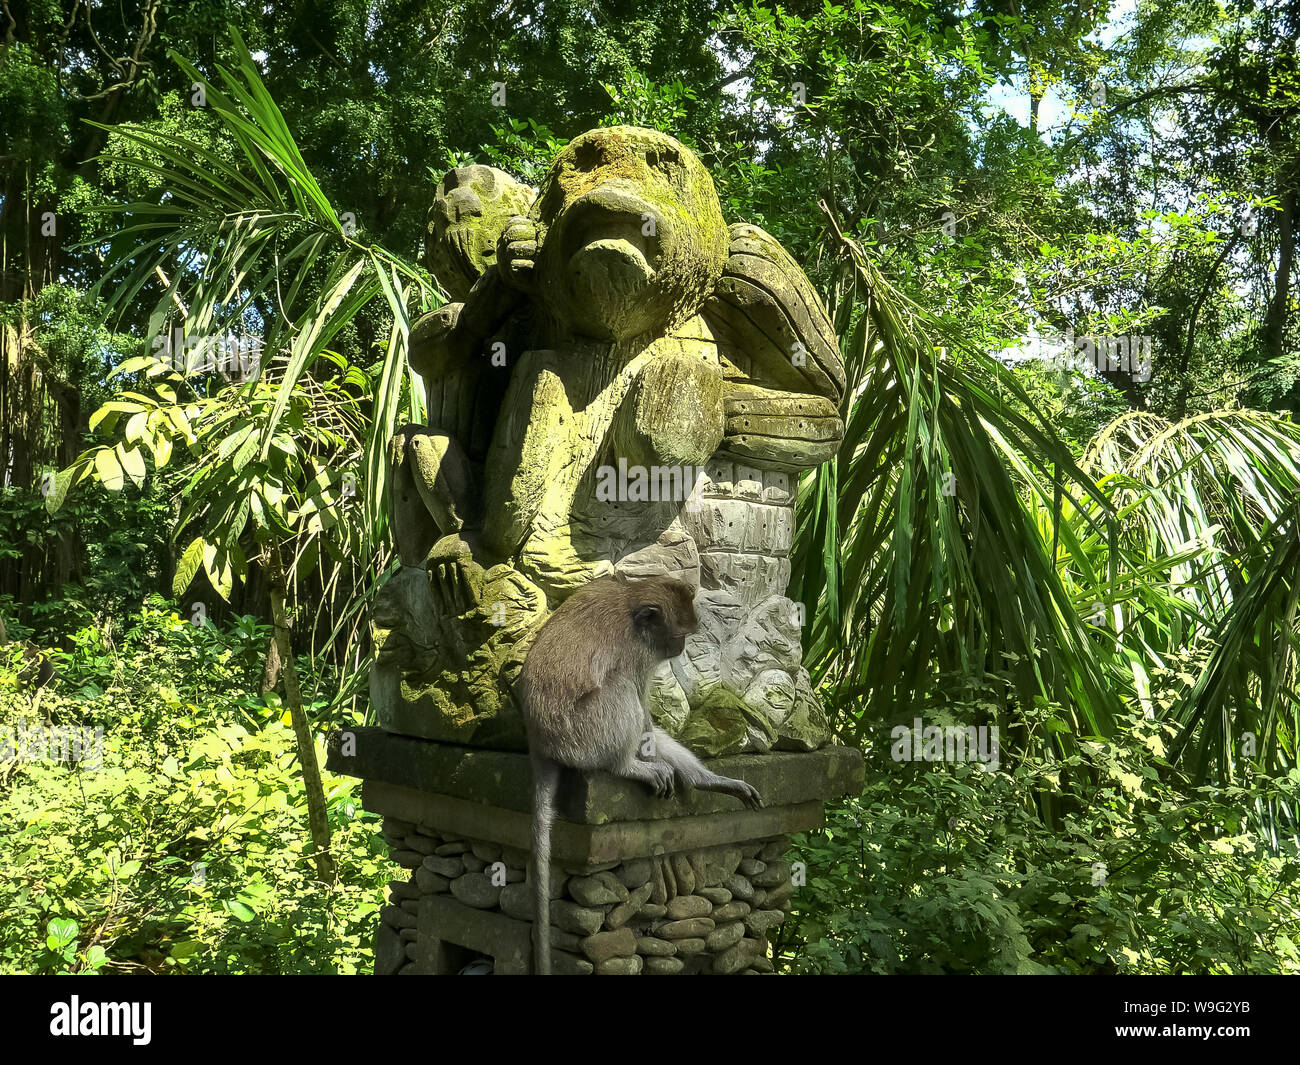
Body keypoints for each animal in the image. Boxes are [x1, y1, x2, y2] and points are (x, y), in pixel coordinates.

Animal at [516, 573, 763, 974]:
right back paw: (628, 766)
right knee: (619, 688)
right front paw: (647, 762)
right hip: (582, 735)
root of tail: (539, 741)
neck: (632, 603)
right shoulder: (637, 652)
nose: (681, 645)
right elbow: (639, 698)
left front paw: (709, 780)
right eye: (679, 631)